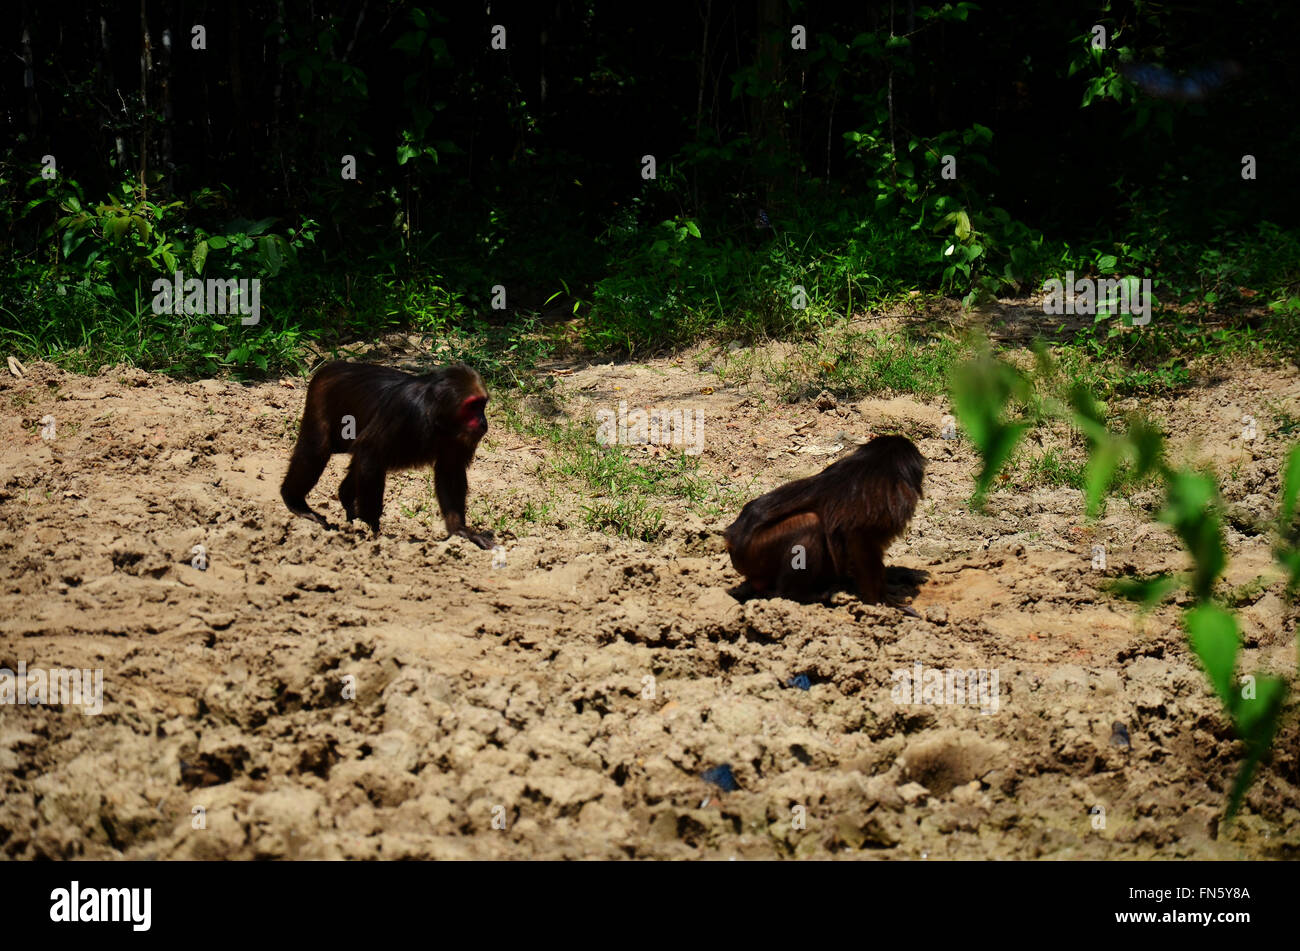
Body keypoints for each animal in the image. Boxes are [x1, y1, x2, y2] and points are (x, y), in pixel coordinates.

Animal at [280, 361, 494, 548]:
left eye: (482, 405)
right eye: (472, 406)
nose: (483, 422)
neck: (436, 417)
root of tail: (335, 365)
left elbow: (450, 470)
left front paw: (460, 530)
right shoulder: (405, 411)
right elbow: (370, 452)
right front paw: (371, 529)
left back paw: (345, 500)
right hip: (321, 392)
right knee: (318, 449)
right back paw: (295, 502)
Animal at [724, 435, 923, 605]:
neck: (878, 460)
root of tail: (731, 540)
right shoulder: (895, 493)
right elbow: (859, 540)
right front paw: (882, 603)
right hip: (754, 552)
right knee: (810, 523)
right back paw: (800, 596)